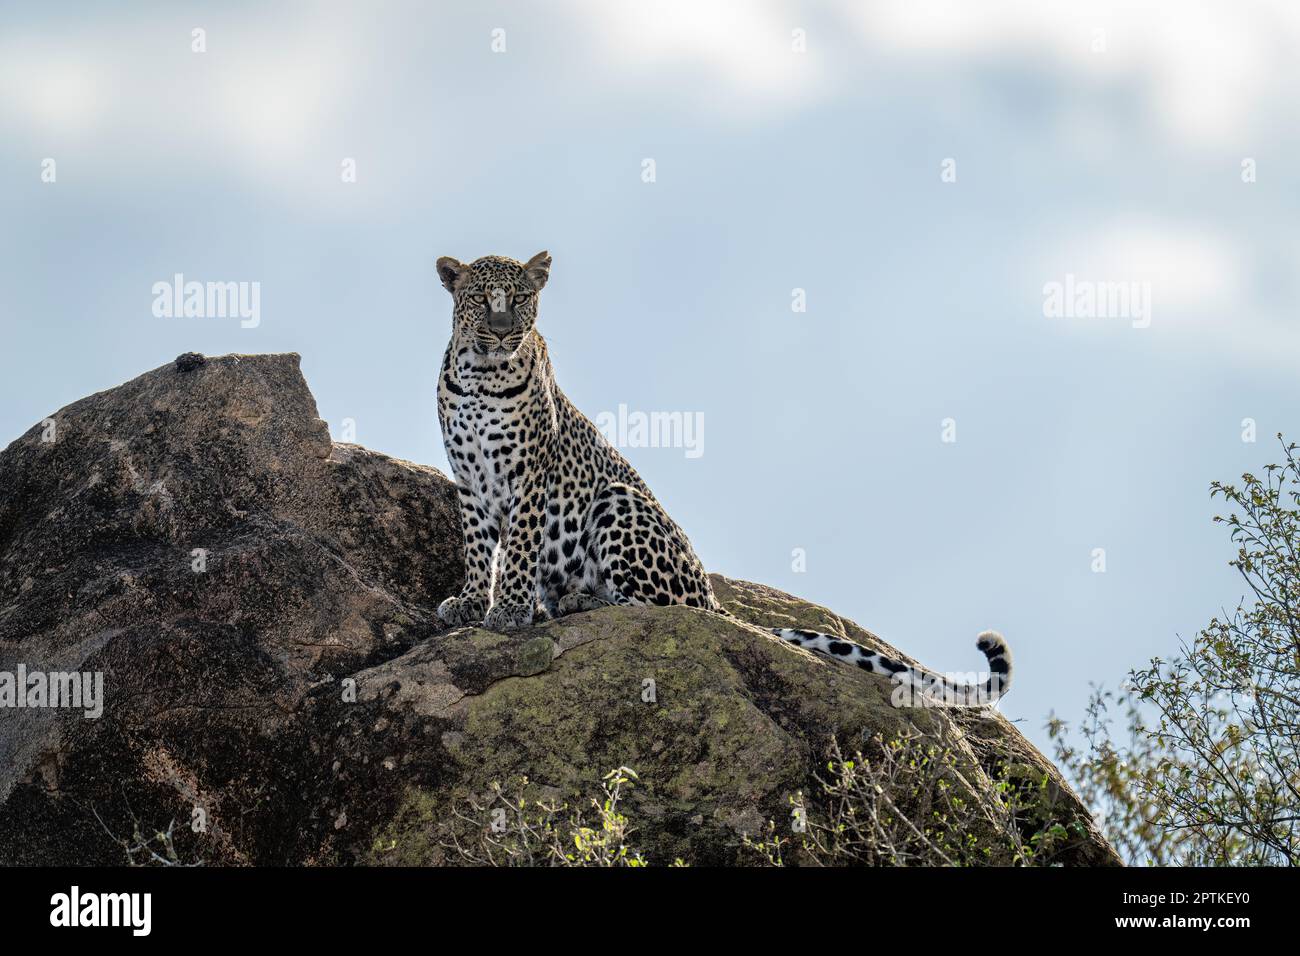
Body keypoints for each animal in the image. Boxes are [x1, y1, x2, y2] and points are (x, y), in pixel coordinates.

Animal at [433, 251, 1012, 705]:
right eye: (482, 298)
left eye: (520, 299)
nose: (503, 331)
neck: (482, 377)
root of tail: (714, 596)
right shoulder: (470, 481)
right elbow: (478, 546)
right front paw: (470, 601)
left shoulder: (531, 474)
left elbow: (519, 546)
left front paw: (509, 610)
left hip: (620, 502)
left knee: (661, 609)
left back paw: (581, 601)